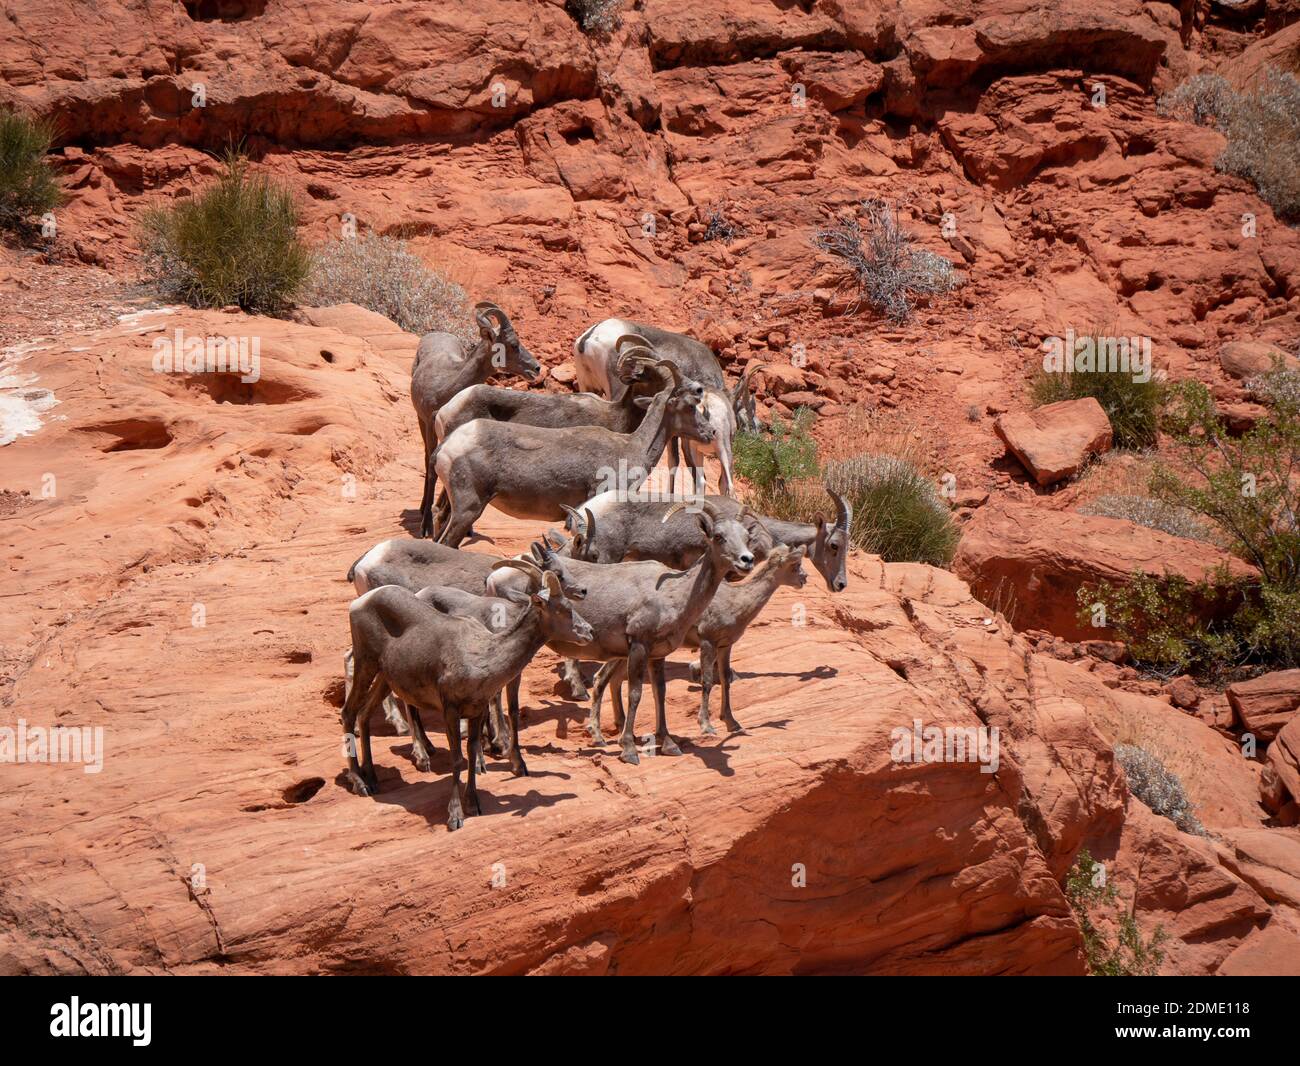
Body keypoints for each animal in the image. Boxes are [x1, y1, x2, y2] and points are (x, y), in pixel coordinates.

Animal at [342, 570, 593, 831]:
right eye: (562, 609)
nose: (589, 631)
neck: (483, 657)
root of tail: (360, 603)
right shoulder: (451, 711)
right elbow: (457, 759)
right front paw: (455, 816)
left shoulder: (477, 710)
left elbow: (472, 753)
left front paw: (473, 804)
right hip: (366, 663)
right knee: (348, 712)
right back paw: (361, 783)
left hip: (385, 678)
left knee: (364, 714)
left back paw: (373, 779)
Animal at [413, 302, 541, 538]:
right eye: (513, 344)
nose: (536, 368)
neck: (448, 386)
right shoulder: (429, 426)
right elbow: (431, 469)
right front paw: (426, 527)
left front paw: (468, 529)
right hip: (420, 421)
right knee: (427, 460)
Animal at [542, 500, 755, 764]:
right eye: (718, 536)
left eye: (747, 536)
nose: (747, 560)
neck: (672, 594)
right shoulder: (639, 646)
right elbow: (635, 694)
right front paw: (629, 750)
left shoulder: (657, 654)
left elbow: (659, 692)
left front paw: (668, 744)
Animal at [590, 545, 808, 739]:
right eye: (795, 564)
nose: (804, 578)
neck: (737, 601)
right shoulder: (708, 642)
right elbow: (708, 681)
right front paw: (706, 726)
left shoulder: (725, 646)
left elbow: (726, 680)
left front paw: (732, 723)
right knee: (601, 678)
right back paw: (598, 734)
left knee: (614, 680)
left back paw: (621, 729)